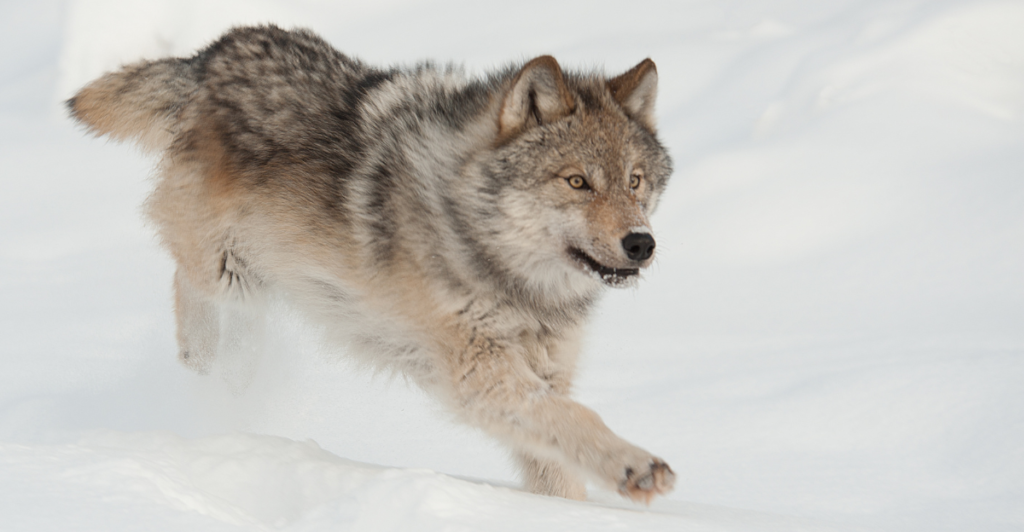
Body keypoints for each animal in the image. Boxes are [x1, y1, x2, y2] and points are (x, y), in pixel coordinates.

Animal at [68, 25, 674, 503]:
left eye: (634, 181)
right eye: (578, 182)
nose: (642, 244)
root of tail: (213, 53)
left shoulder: (544, 375)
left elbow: (559, 464)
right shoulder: (478, 375)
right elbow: (577, 418)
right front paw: (637, 466)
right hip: (227, 269)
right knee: (188, 285)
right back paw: (200, 361)